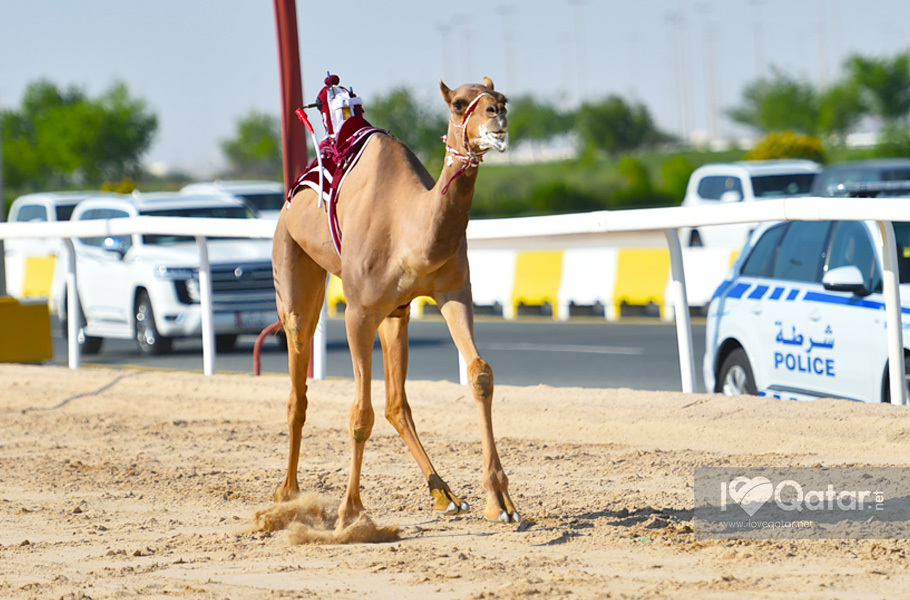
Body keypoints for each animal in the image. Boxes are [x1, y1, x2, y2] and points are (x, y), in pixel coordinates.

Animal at [271, 76, 520, 526]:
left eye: (503, 98)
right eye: (459, 104)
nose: (498, 116)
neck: (410, 229)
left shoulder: (453, 292)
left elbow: (479, 375)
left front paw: (501, 501)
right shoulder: (358, 312)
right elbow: (360, 414)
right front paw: (350, 513)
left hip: (396, 314)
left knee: (396, 403)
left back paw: (444, 493)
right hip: (293, 261)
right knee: (299, 378)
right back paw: (289, 494)